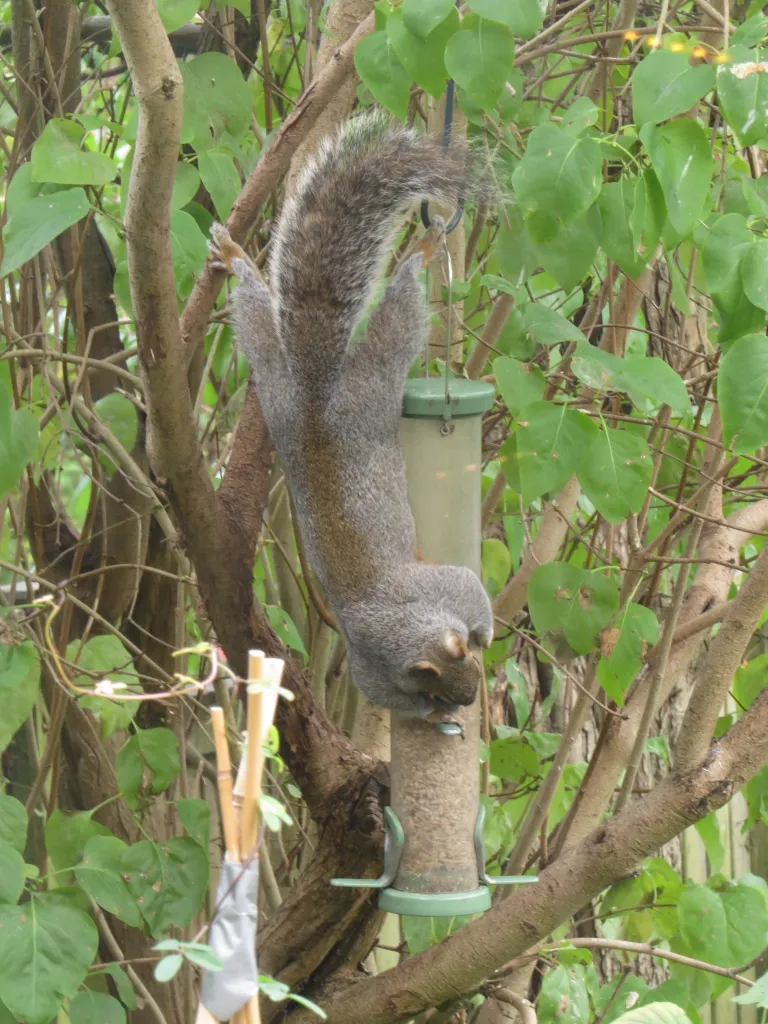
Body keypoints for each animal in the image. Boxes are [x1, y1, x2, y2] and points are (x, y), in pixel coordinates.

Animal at [209, 113, 494, 720]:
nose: (464, 704)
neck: (393, 632)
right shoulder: (377, 660)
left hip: (306, 382)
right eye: (444, 689)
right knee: (365, 312)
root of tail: (315, 390)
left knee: (271, 317)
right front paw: (432, 718)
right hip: (336, 381)